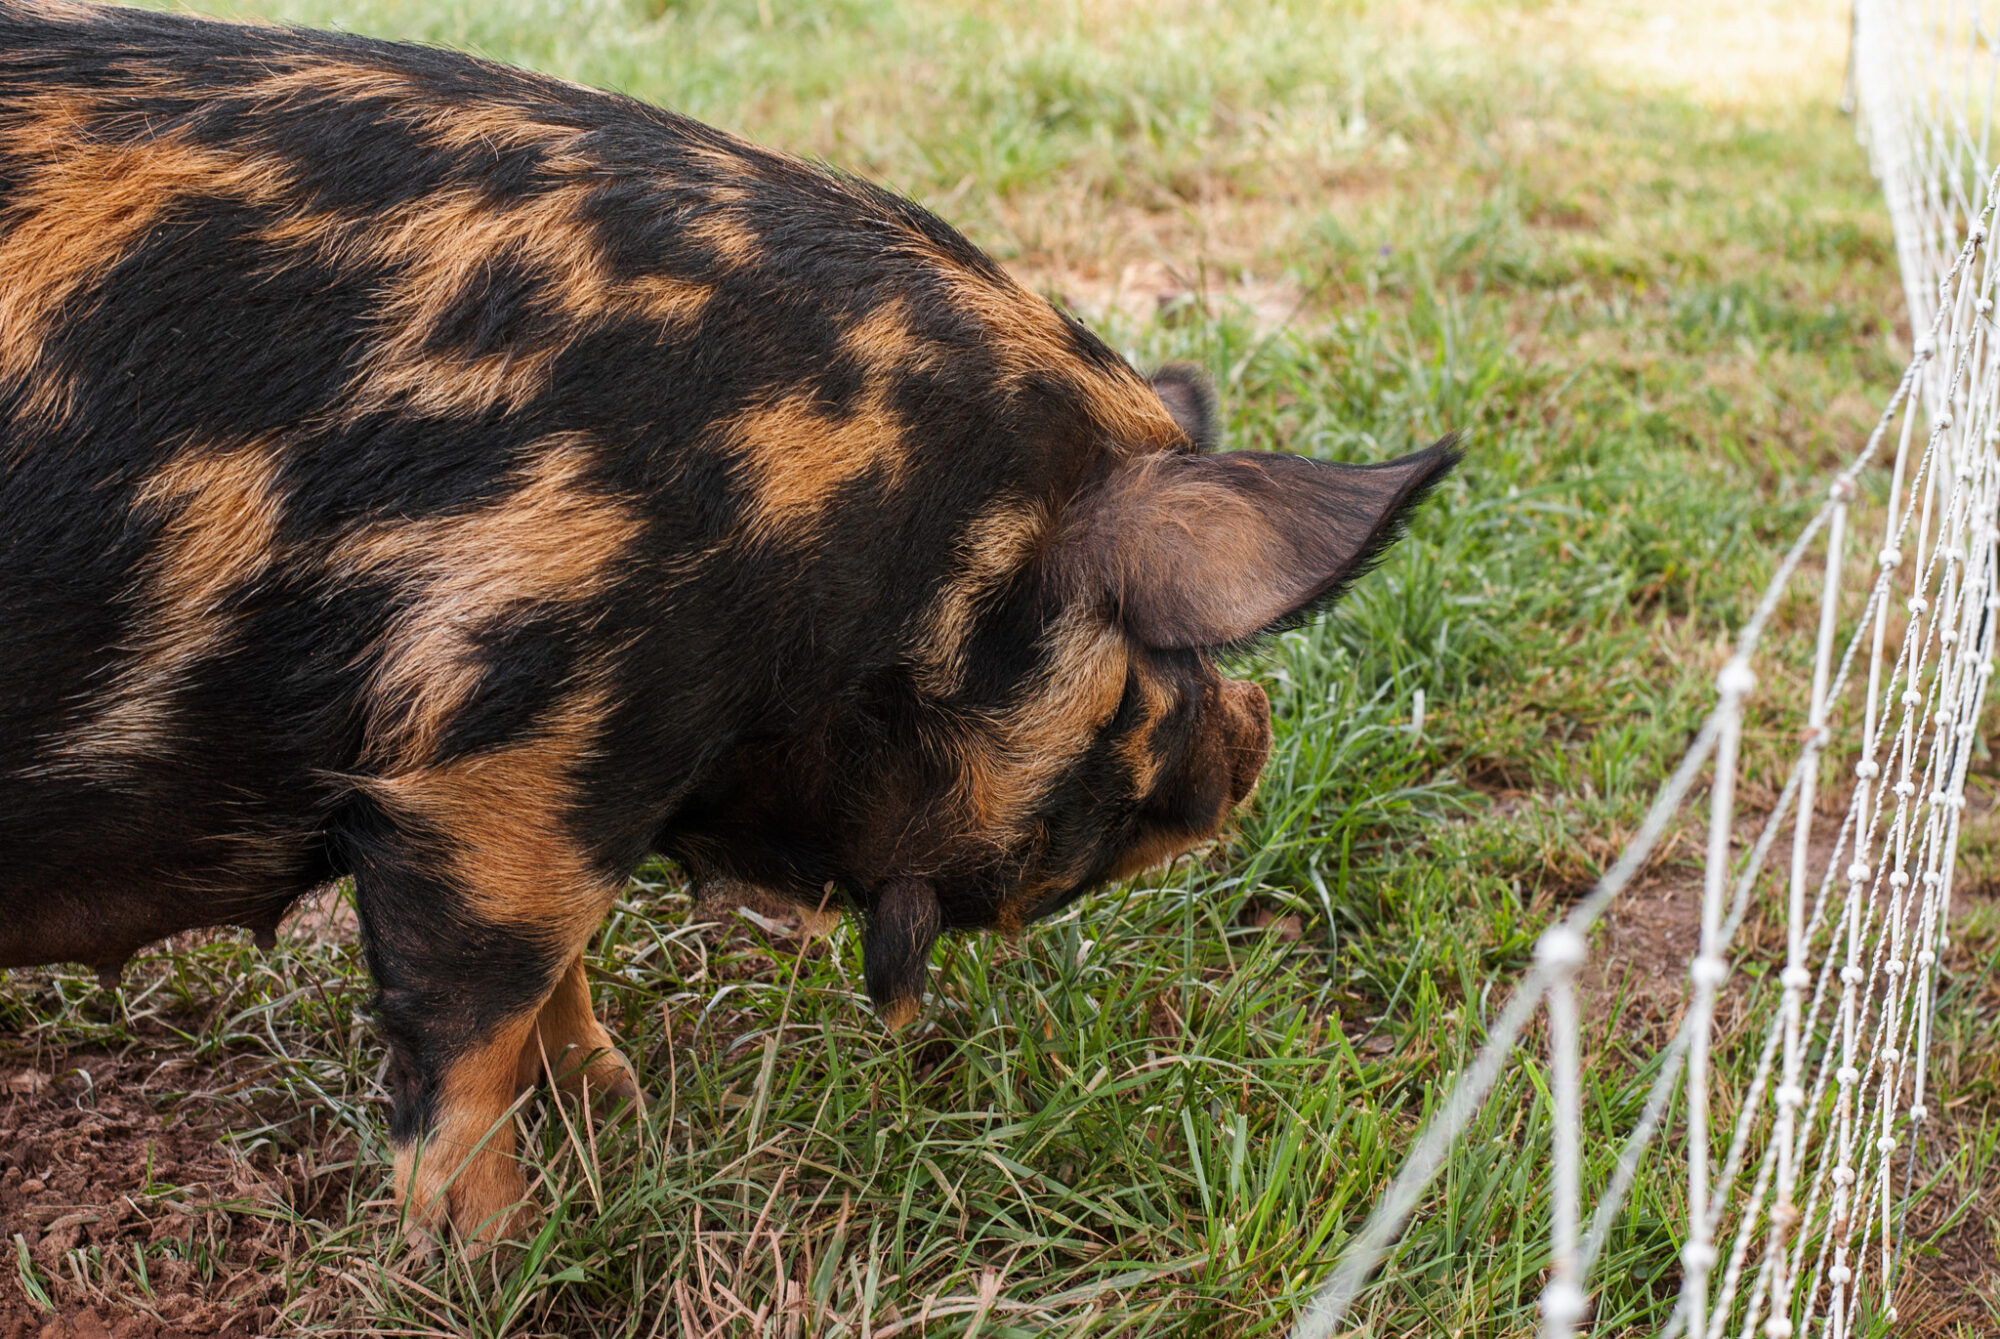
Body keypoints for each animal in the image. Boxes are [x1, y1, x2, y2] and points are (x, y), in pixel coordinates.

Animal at [0, 0, 1458, 1241]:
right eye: (1167, 664)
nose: (1255, 729)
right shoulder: (508, 746)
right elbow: (477, 1006)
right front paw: (497, 1249)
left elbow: (563, 971)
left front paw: (616, 1103)